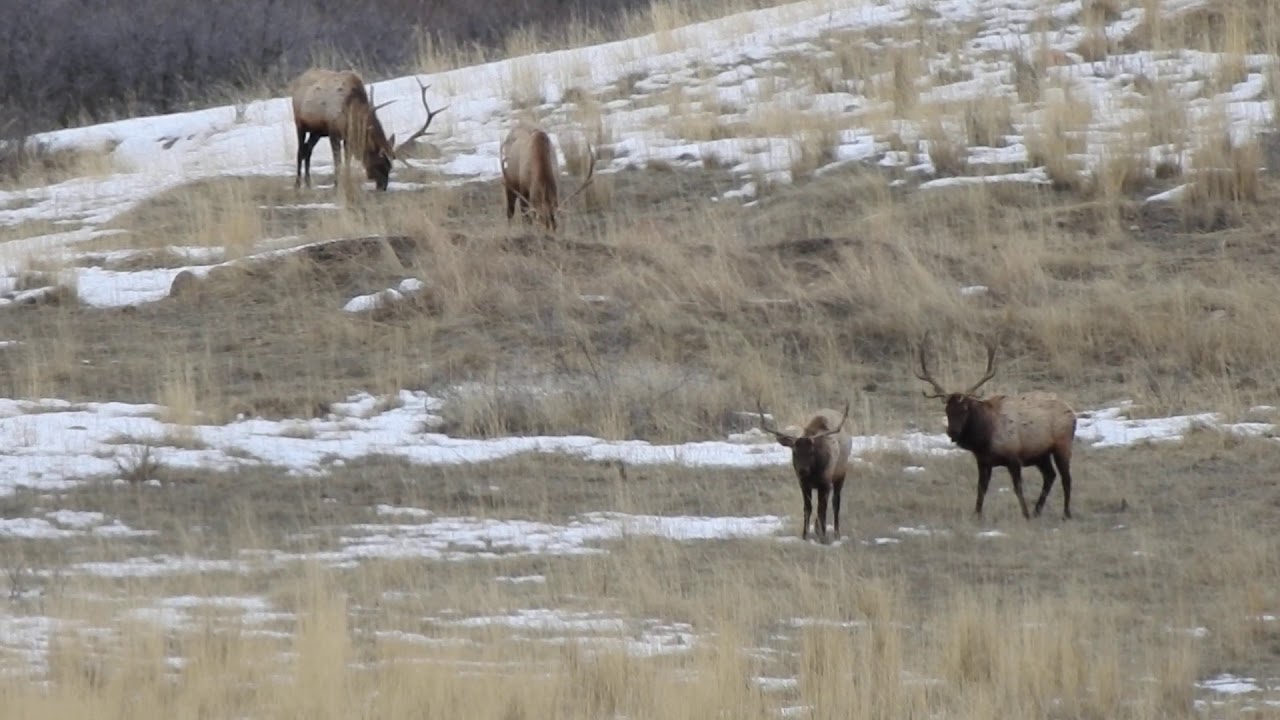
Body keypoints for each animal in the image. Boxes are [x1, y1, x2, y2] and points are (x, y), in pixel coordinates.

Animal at [291, 70, 445, 192]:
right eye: (380, 164)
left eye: (390, 166)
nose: (383, 187)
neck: (351, 109)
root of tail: (298, 79)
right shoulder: (333, 132)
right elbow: (338, 161)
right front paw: (336, 184)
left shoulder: (347, 137)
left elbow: (347, 160)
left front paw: (346, 181)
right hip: (300, 124)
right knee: (300, 151)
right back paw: (297, 184)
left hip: (316, 131)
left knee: (308, 150)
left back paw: (308, 183)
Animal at [757, 400, 853, 544]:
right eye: (794, 452)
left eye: (811, 452)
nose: (802, 470)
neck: (813, 474)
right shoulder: (803, 484)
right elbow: (808, 508)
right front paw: (805, 535)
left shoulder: (825, 483)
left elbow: (822, 509)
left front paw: (823, 536)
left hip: (840, 475)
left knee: (835, 503)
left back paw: (836, 534)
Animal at [913, 334, 1078, 521]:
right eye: (947, 410)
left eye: (965, 409)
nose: (952, 431)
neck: (984, 439)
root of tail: (1072, 413)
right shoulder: (983, 460)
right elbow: (981, 488)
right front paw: (976, 515)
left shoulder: (1014, 457)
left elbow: (1017, 488)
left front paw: (1025, 515)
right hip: (1041, 454)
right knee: (1050, 476)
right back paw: (1038, 510)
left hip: (1063, 445)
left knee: (1066, 478)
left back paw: (1065, 513)